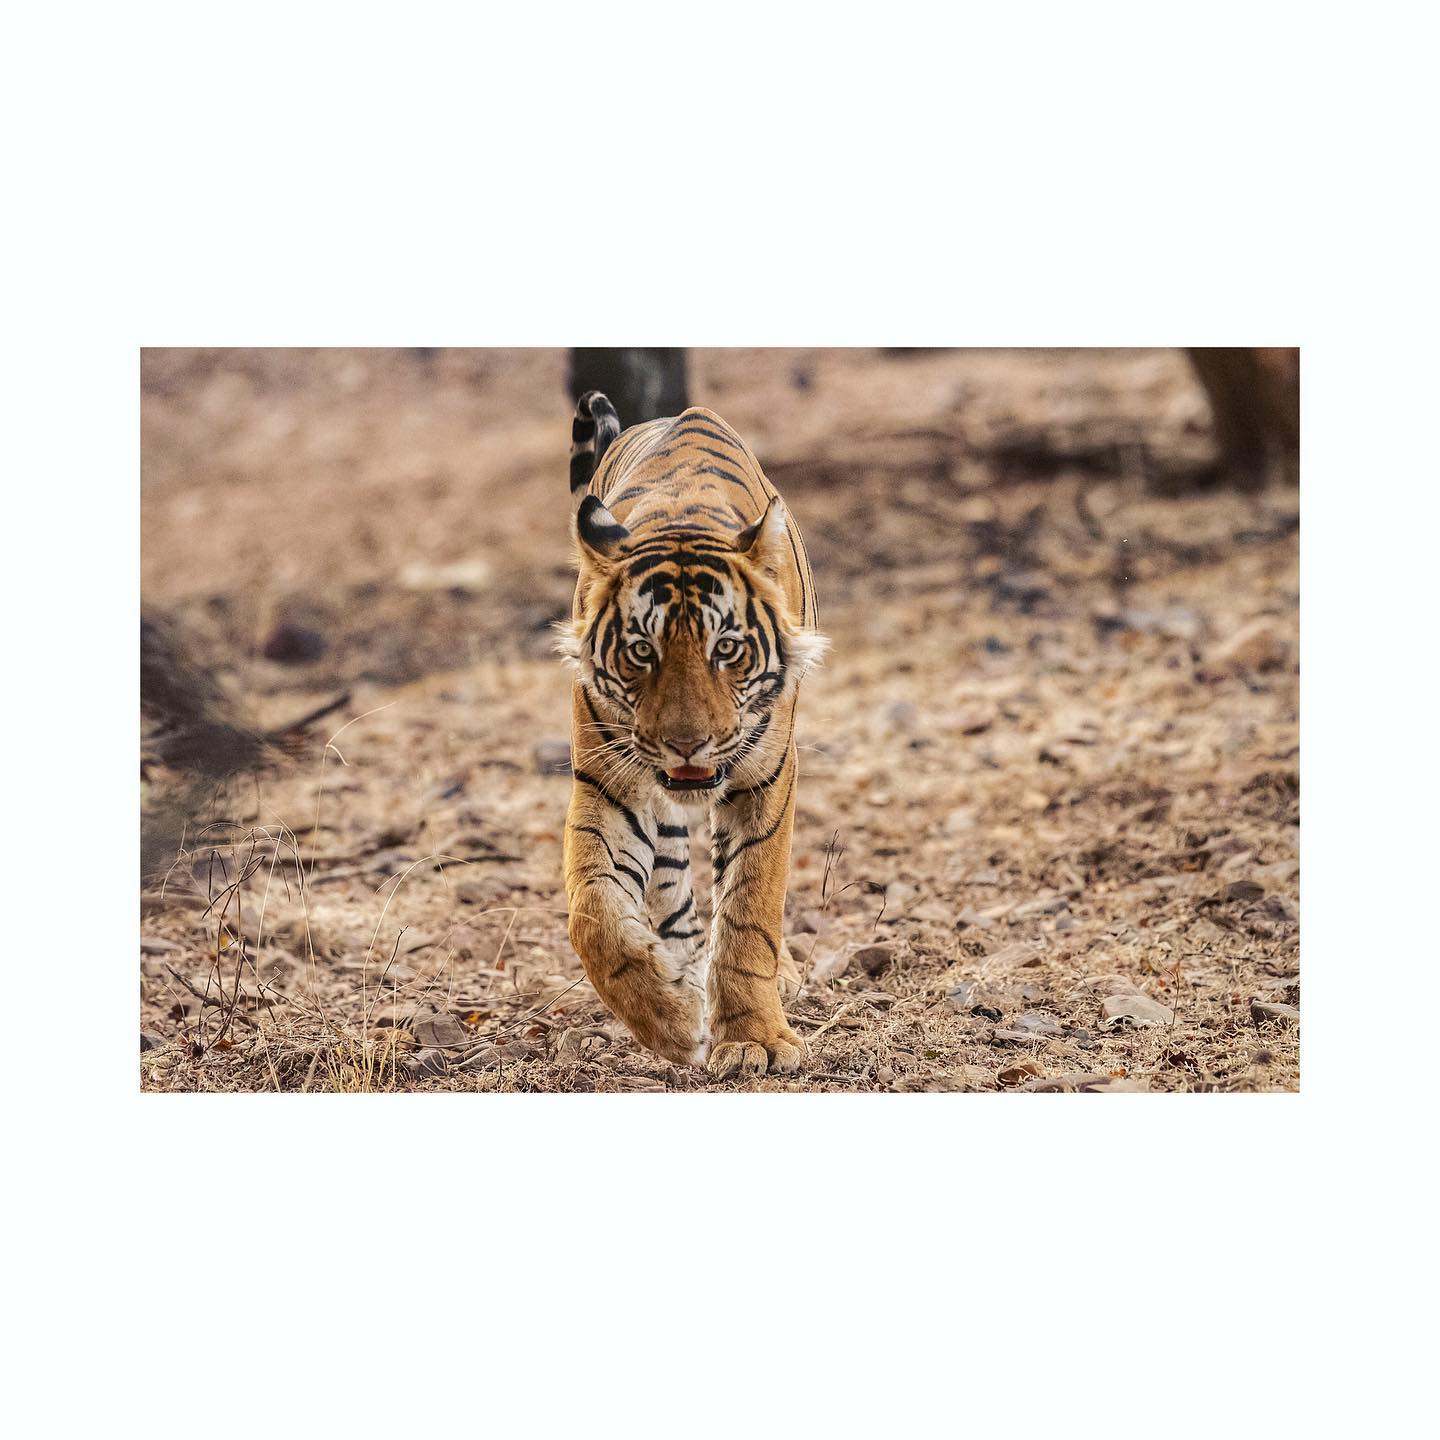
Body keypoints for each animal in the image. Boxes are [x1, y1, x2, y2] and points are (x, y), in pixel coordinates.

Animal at [556, 390, 827, 1079]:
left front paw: (757, 1039)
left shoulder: (767, 777)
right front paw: (673, 1019)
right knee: (673, 884)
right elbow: (593, 912)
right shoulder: (608, 784)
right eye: (641, 651)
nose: (686, 744)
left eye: (725, 648)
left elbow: (751, 907)